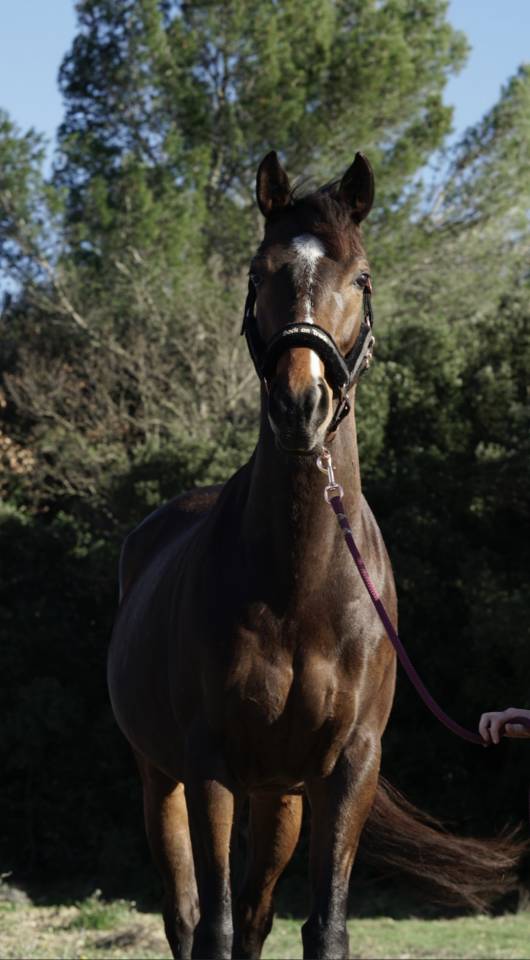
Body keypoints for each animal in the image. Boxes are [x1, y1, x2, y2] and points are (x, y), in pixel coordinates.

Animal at [108, 151, 523, 960]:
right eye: (257, 271)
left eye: (361, 278)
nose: (302, 405)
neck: (300, 588)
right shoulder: (208, 766)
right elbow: (213, 924)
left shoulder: (347, 768)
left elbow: (321, 925)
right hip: (160, 778)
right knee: (186, 913)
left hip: (281, 798)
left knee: (256, 914)